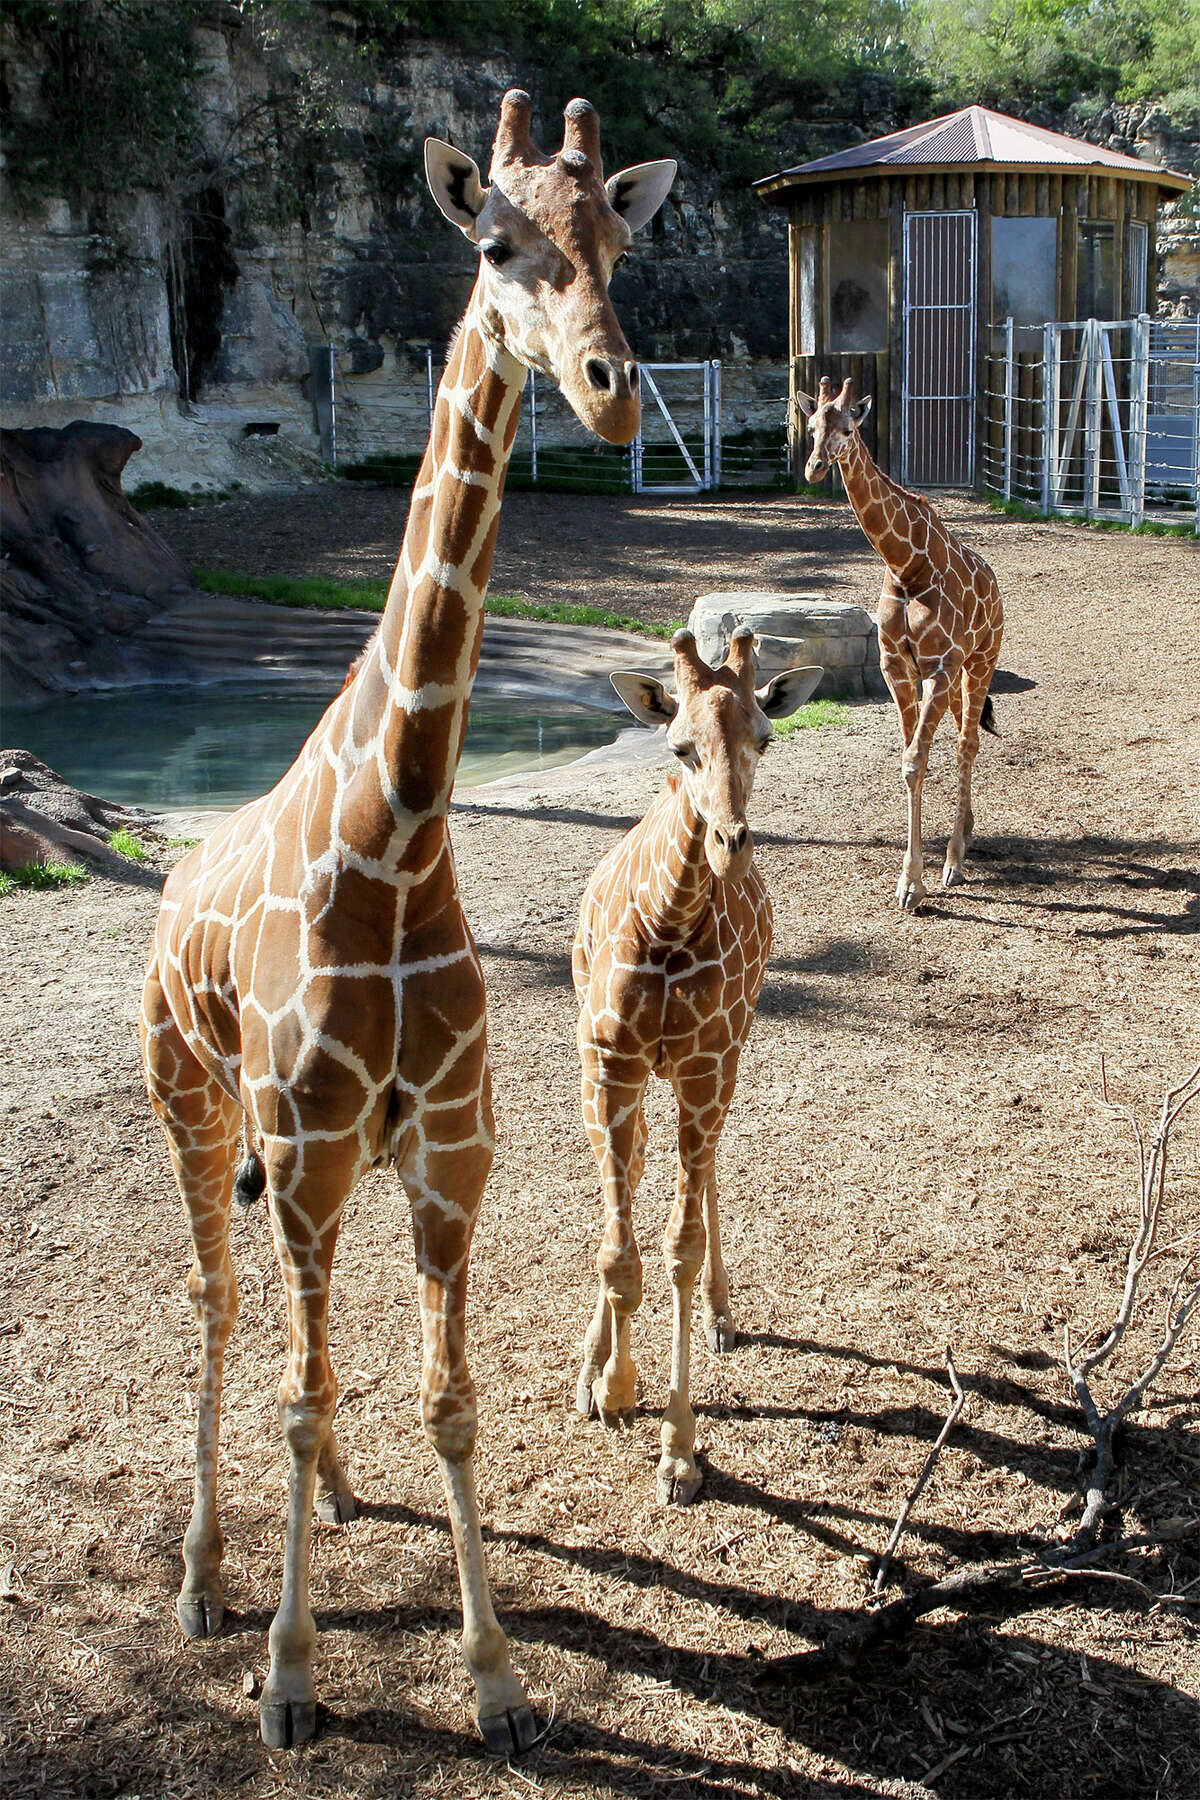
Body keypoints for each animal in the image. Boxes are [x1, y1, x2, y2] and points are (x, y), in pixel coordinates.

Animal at [139, 90, 675, 1754]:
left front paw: (496, 1678)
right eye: (495, 244)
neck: (396, 832)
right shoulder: (306, 1148)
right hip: (197, 1112)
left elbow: (447, 1397)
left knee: (297, 1337)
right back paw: (205, 1583)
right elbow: (298, 1377)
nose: (610, 394)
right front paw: (290, 1680)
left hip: (325, 1162)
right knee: (221, 1305)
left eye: (621, 236)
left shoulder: (444, 1153)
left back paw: (331, 1498)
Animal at [572, 627, 822, 1504]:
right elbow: (618, 1250)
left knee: (707, 1172)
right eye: (679, 745)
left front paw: (677, 1450)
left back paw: (720, 1313)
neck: (669, 922)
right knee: (645, 1170)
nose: (729, 846)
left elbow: (675, 1250)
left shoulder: (707, 1060)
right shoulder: (607, 1062)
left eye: (766, 738)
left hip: (724, 1057)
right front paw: (611, 1385)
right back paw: (591, 1363)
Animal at [799, 377, 1004, 911]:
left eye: (848, 427)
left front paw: (913, 883)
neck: (905, 562)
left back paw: (955, 858)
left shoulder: (937, 666)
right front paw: (912, 875)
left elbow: (916, 760)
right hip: (958, 672)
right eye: (811, 425)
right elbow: (910, 760)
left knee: (967, 743)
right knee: (962, 737)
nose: (815, 467)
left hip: (981, 659)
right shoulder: (898, 666)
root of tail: (993, 582)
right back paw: (964, 836)